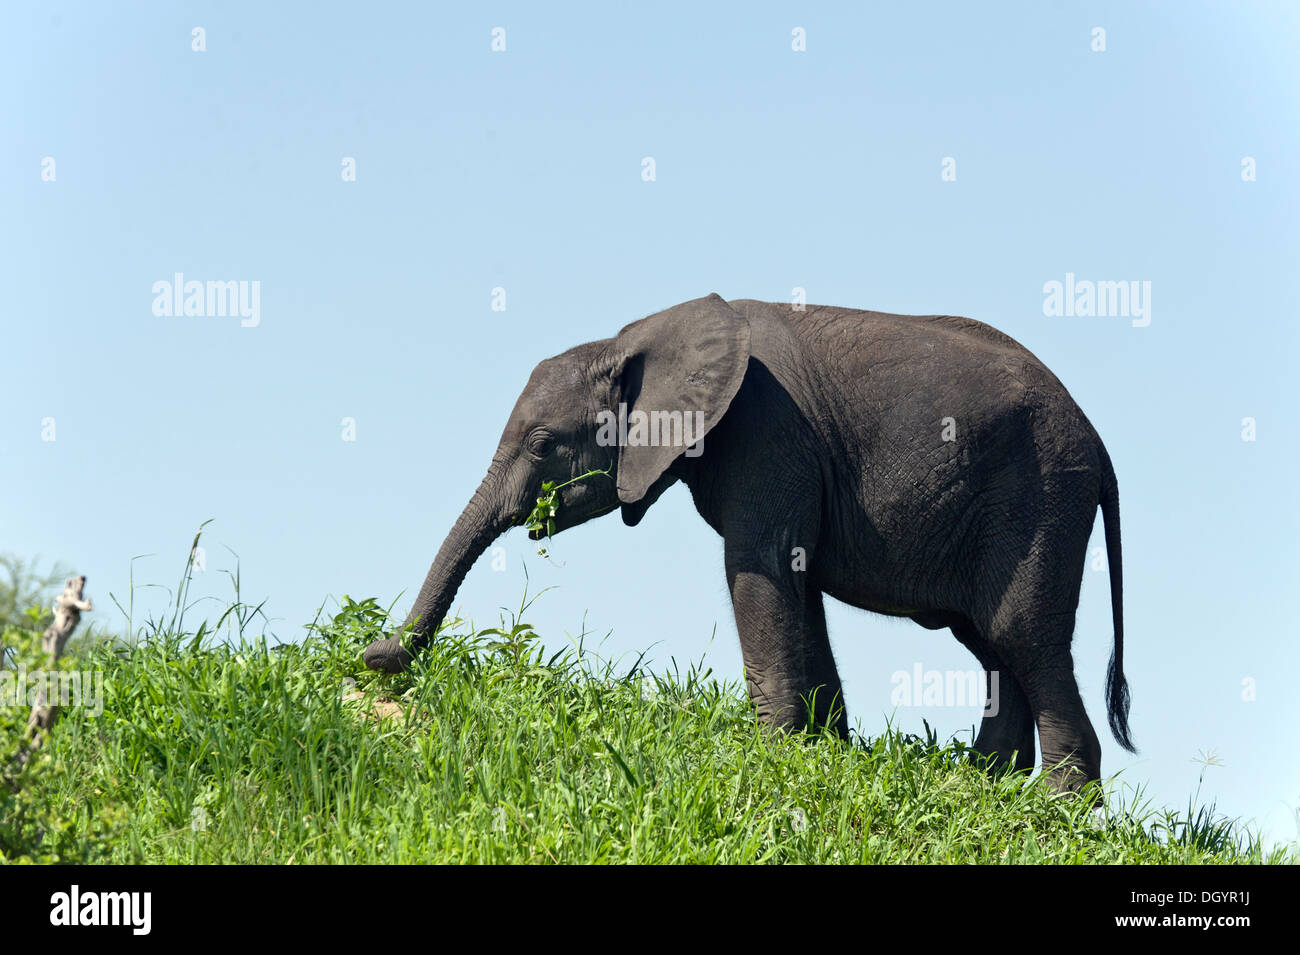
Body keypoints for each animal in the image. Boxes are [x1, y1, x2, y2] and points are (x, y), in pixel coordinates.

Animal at [365, 293, 1134, 790]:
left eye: (542, 443)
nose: (373, 652)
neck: (634, 338)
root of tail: (1099, 441)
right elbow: (797, 586)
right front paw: (823, 755)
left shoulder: (766, 430)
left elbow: (758, 572)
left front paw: (776, 759)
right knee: (992, 645)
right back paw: (982, 791)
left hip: (1041, 497)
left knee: (1021, 635)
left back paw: (1053, 816)